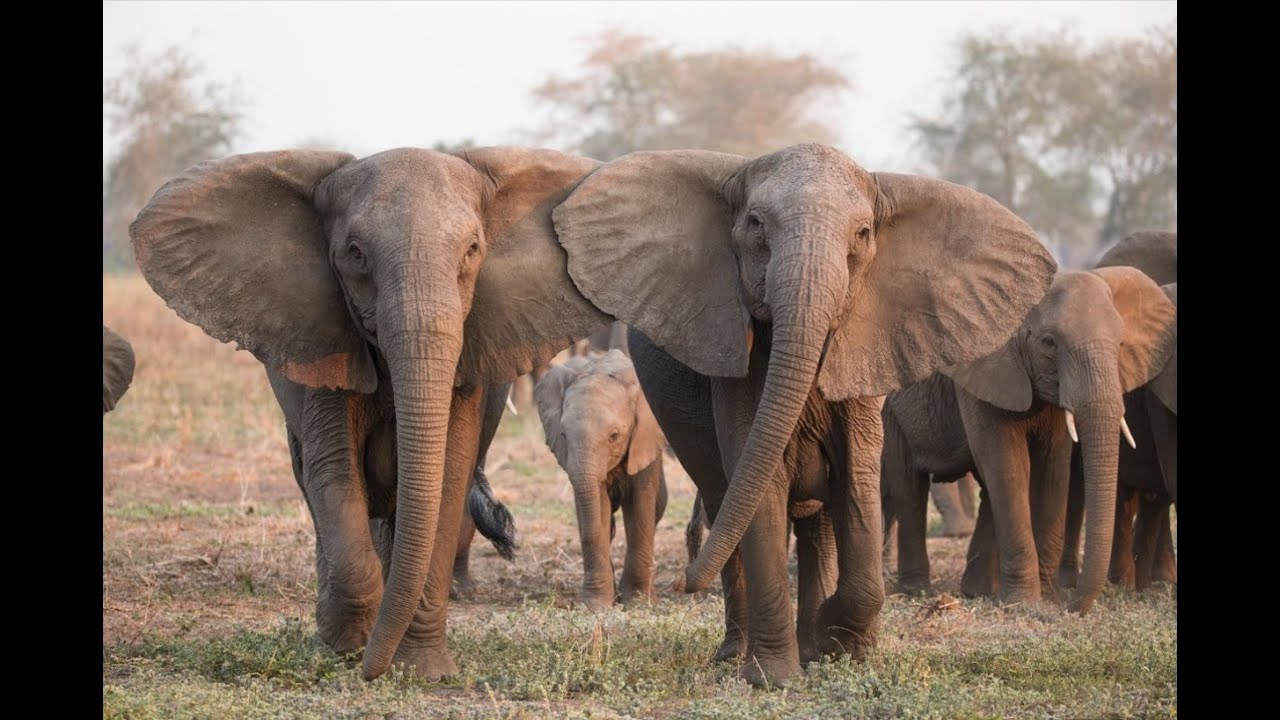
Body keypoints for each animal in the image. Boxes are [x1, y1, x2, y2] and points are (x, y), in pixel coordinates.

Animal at [130, 146, 612, 681]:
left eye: (472, 250)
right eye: (355, 253)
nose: (369, 671)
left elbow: (446, 479)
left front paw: (421, 671)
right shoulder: (324, 342)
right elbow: (333, 472)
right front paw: (347, 647)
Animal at [533, 349, 667, 609]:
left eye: (614, 436)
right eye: (563, 435)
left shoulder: (644, 441)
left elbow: (640, 510)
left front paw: (637, 602)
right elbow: (596, 511)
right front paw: (596, 606)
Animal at [549, 143, 1057, 685]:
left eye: (863, 234)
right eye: (755, 224)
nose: (686, 582)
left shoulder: (866, 350)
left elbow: (857, 480)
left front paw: (840, 643)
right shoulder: (739, 363)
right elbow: (760, 484)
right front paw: (772, 677)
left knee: (816, 524)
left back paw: (811, 644)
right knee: (726, 502)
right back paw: (737, 653)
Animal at [880, 267, 1176, 612]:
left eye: (1120, 344)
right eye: (1049, 343)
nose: (1071, 605)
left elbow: (1053, 468)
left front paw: (1047, 597)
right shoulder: (983, 369)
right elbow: (1008, 466)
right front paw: (1023, 603)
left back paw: (977, 590)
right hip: (889, 410)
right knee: (909, 490)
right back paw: (917, 591)